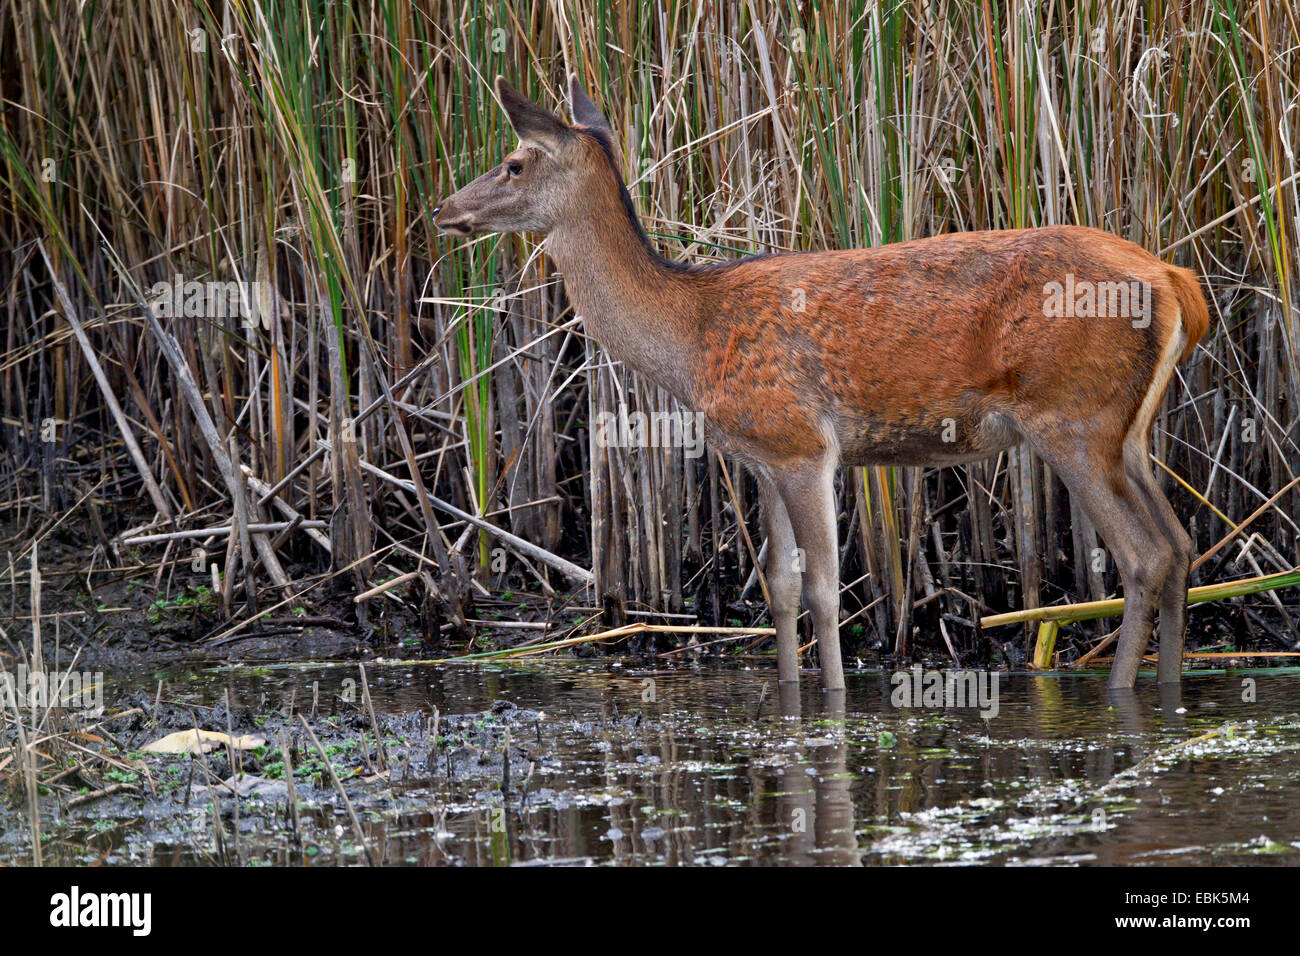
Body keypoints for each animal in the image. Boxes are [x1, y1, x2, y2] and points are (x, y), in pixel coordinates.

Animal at [434, 76, 1211, 694]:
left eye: (512, 163)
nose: (443, 210)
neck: (689, 339)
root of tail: (1179, 283)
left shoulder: (802, 443)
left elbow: (824, 589)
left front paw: (832, 702)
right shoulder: (761, 456)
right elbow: (779, 588)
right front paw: (788, 694)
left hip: (1070, 417)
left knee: (1142, 556)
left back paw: (1121, 692)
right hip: (1127, 433)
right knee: (1179, 545)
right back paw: (1168, 686)